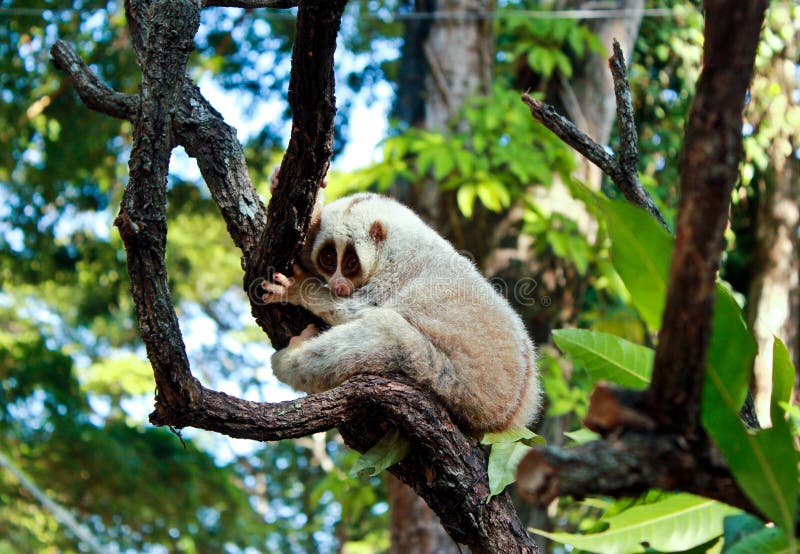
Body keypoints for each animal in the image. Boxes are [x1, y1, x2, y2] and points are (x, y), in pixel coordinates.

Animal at [261, 192, 540, 434]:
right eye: (328, 260)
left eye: (351, 263)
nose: (338, 285)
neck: (397, 242)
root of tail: (509, 416)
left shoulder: (395, 271)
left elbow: (360, 310)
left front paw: (298, 289)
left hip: (455, 386)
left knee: (386, 330)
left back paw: (289, 357)